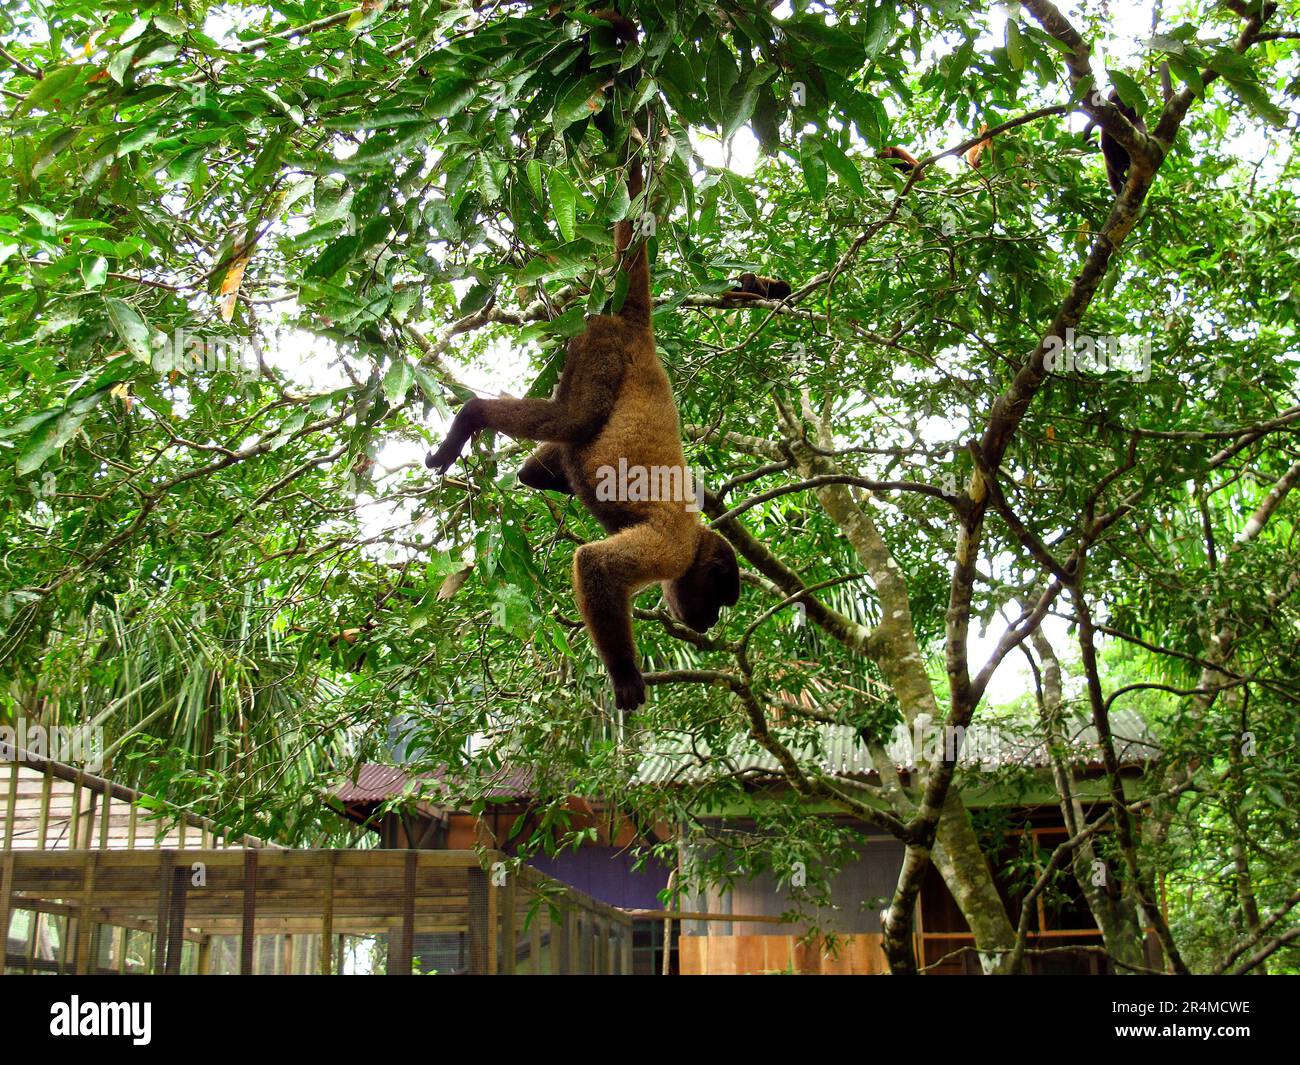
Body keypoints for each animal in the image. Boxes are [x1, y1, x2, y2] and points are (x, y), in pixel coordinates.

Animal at [425, 156, 741, 712]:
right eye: (719, 598)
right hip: (601, 347)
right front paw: (626, 677)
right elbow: (595, 564)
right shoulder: (673, 545)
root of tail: (641, 332)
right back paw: (471, 416)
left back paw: (536, 468)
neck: (697, 538)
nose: (709, 624)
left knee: (557, 452)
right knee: (572, 417)